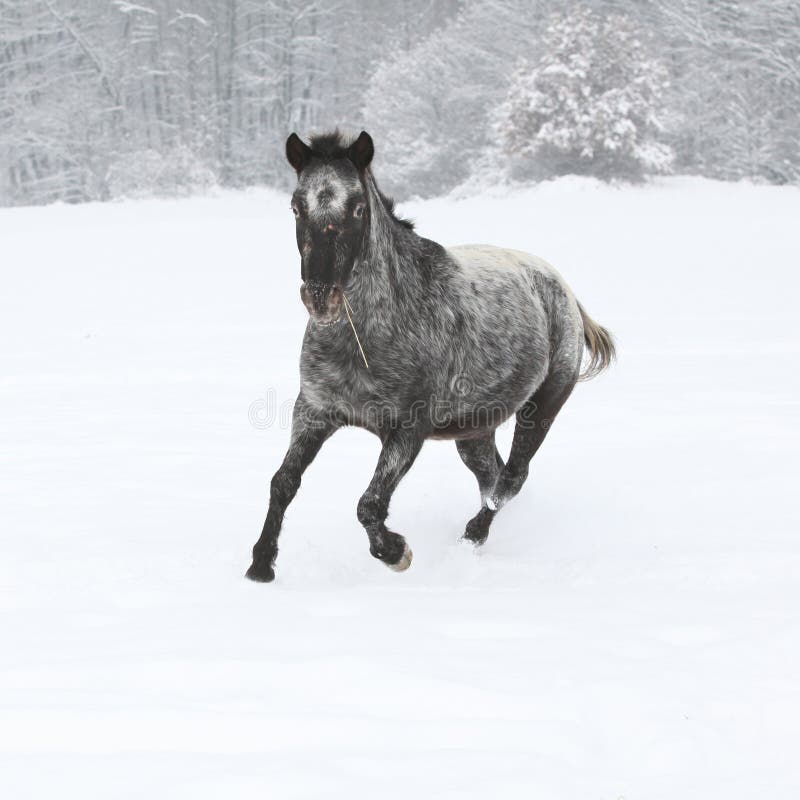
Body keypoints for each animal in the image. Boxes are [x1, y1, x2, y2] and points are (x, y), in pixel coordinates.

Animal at [245, 130, 614, 582]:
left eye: (358, 207)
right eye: (297, 206)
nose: (321, 296)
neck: (367, 336)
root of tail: (563, 289)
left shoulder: (407, 429)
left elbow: (369, 504)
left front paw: (395, 552)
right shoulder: (314, 411)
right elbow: (283, 482)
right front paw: (261, 564)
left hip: (542, 407)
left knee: (511, 479)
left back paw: (472, 535)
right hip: (474, 430)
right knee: (491, 475)